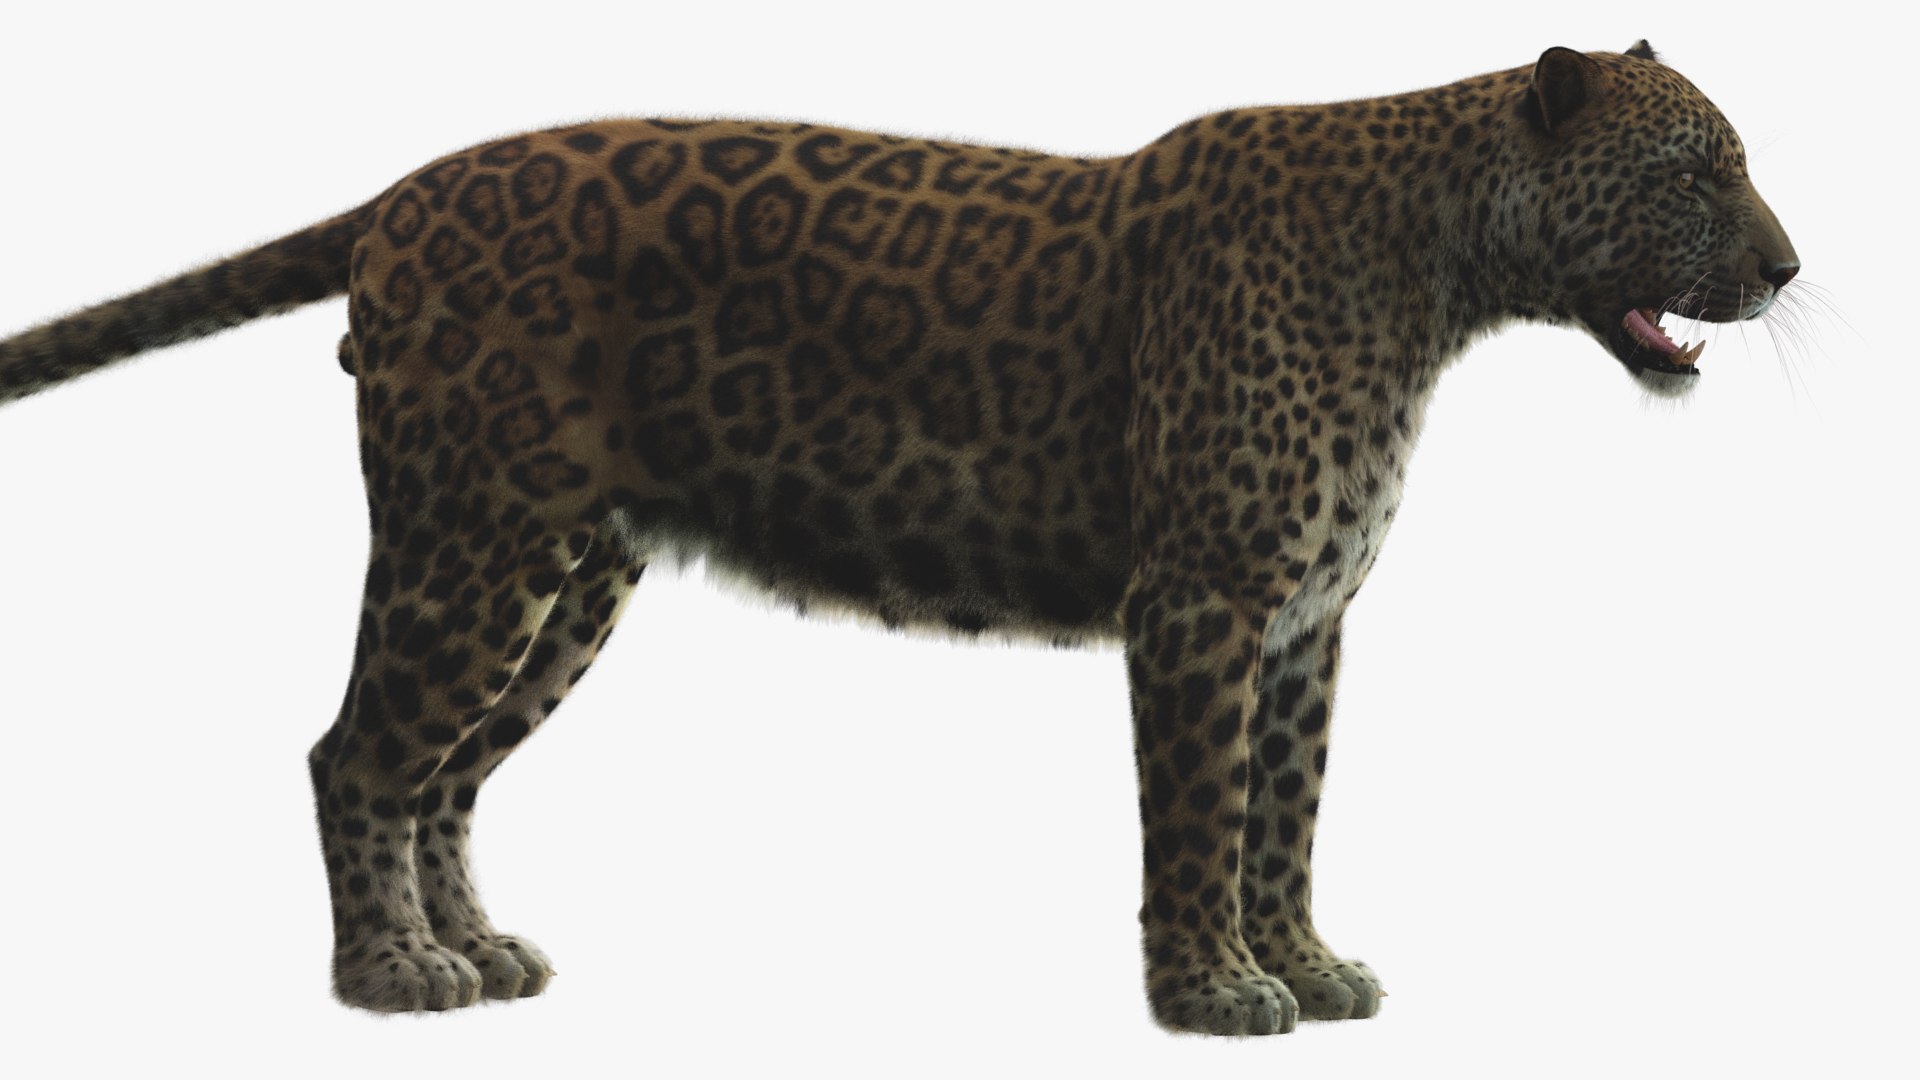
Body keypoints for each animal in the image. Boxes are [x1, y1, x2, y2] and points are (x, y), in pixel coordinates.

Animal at [0, 41, 1797, 1035]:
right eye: (1692, 173)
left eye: (1739, 167)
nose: (1786, 268)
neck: (1441, 271)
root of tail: (404, 192)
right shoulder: (1205, 605)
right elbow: (1200, 816)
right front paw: (1213, 994)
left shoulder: (1304, 622)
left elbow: (1288, 812)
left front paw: (1307, 962)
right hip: (473, 538)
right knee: (355, 752)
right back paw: (391, 975)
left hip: (567, 579)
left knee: (440, 769)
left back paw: (478, 951)